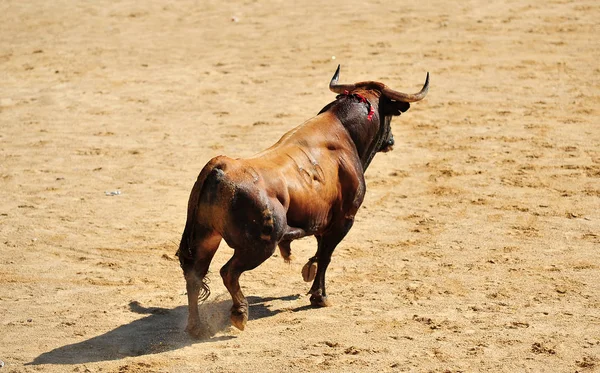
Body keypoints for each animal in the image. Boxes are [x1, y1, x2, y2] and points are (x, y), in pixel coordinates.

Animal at [176, 64, 428, 334]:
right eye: (389, 116)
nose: (391, 141)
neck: (343, 131)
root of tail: (222, 166)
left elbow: (319, 251)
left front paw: (310, 274)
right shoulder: (344, 218)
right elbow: (326, 255)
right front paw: (319, 296)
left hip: (206, 236)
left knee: (194, 275)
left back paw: (195, 326)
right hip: (259, 245)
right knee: (228, 272)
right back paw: (239, 313)